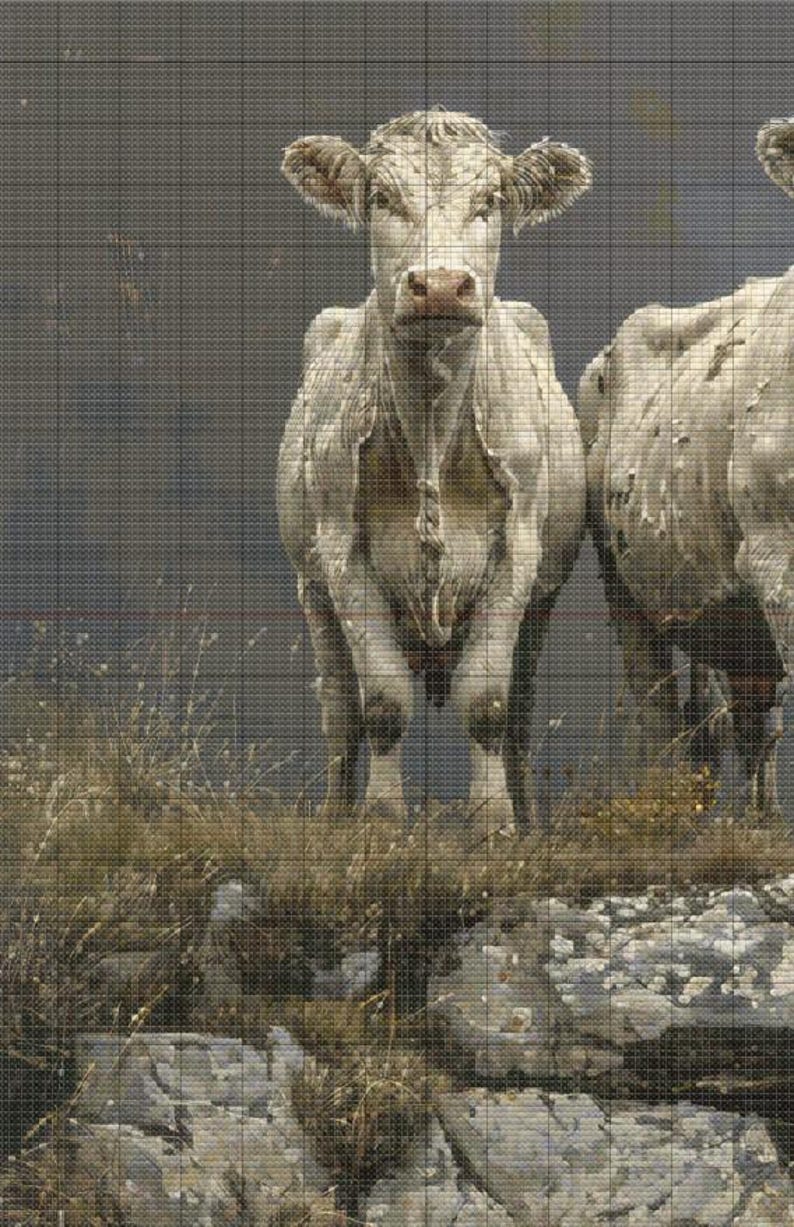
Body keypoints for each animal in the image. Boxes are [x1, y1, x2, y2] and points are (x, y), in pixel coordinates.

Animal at [277, 108, 591, 832]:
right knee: (340, 710)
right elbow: (383, 702)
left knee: (520, 710)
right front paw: (380, 818)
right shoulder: (342, 552)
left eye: (490, 200)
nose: (441, 285)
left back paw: (530, 816)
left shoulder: (518, 554)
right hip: (312, 593)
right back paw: (333, 814)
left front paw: (496, 821)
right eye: (382, 197)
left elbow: (489, 703)